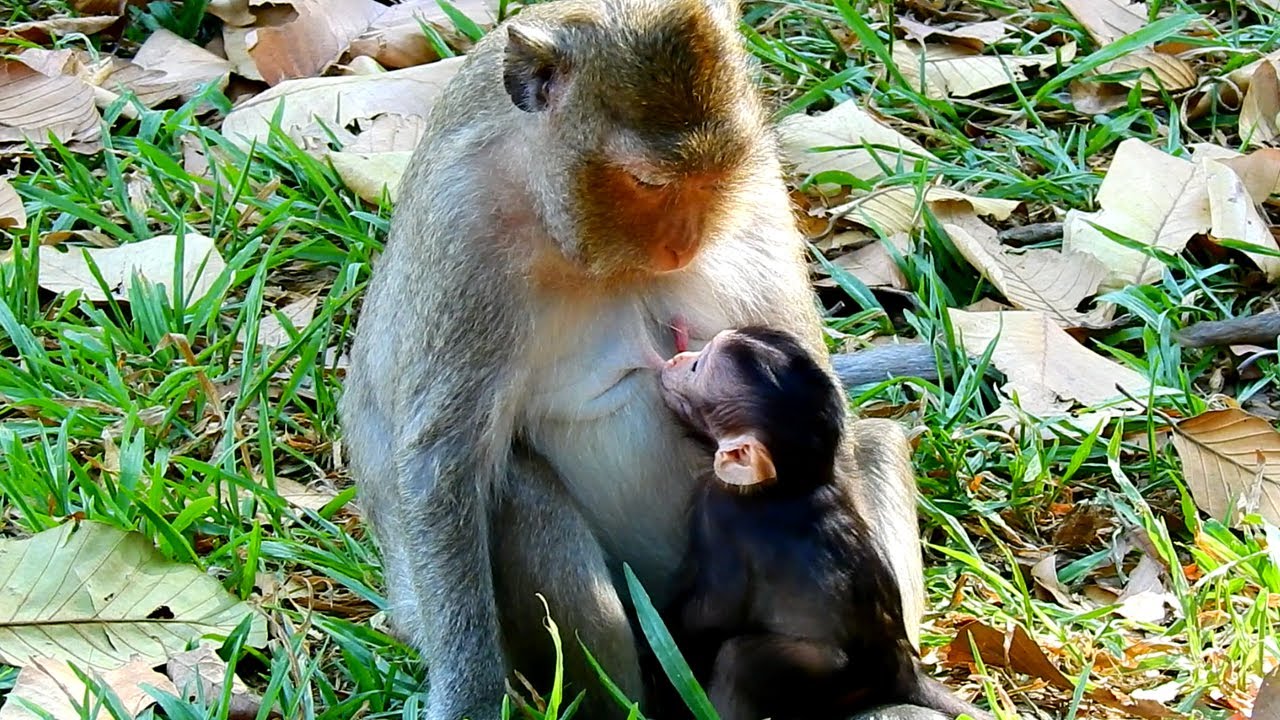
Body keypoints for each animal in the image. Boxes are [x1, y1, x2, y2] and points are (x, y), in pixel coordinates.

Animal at [338, 0, 943, 718]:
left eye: (712, 182)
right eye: (647, 183)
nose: (684, 243)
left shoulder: (757, 183)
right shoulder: (467, 229)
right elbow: (441, 464)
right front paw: (471, 696)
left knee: (875, 441)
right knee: (519, 495)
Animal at [649, 326, 989, 720]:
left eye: (697, 368)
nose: (678, 359)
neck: (794, 484)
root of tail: (903, 667)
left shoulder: (717, 508)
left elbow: (712, 611)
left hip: (832, 676)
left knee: (741, 660)